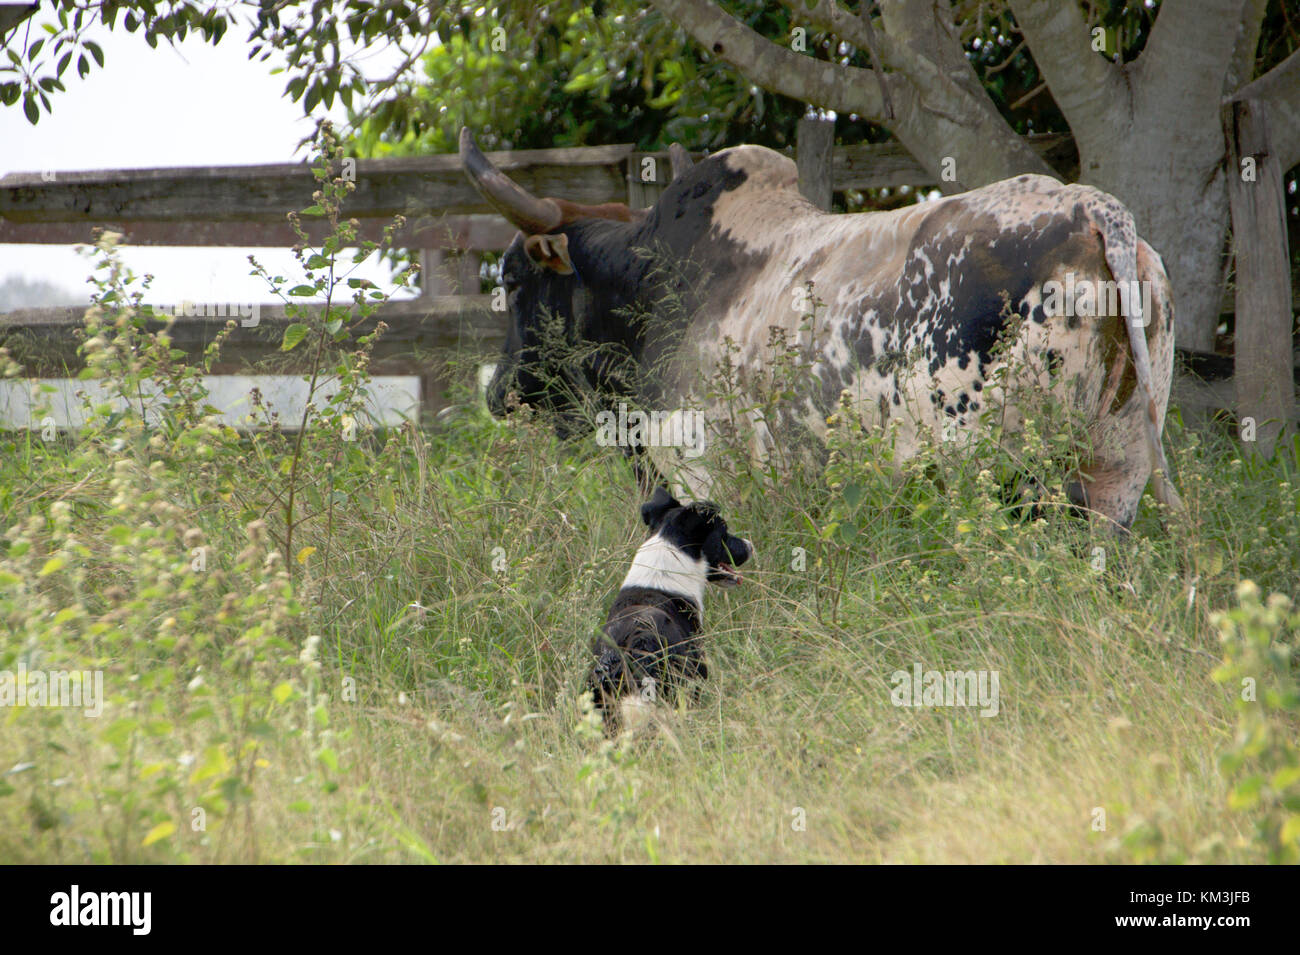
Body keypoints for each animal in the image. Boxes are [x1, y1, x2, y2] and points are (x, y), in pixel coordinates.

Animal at [460, 128, 1183, 530]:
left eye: (513, 280)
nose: (496, 391)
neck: (655, 288)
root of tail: (1092, 210)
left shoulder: (701, 475)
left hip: (996, 466)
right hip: (1116, 471)